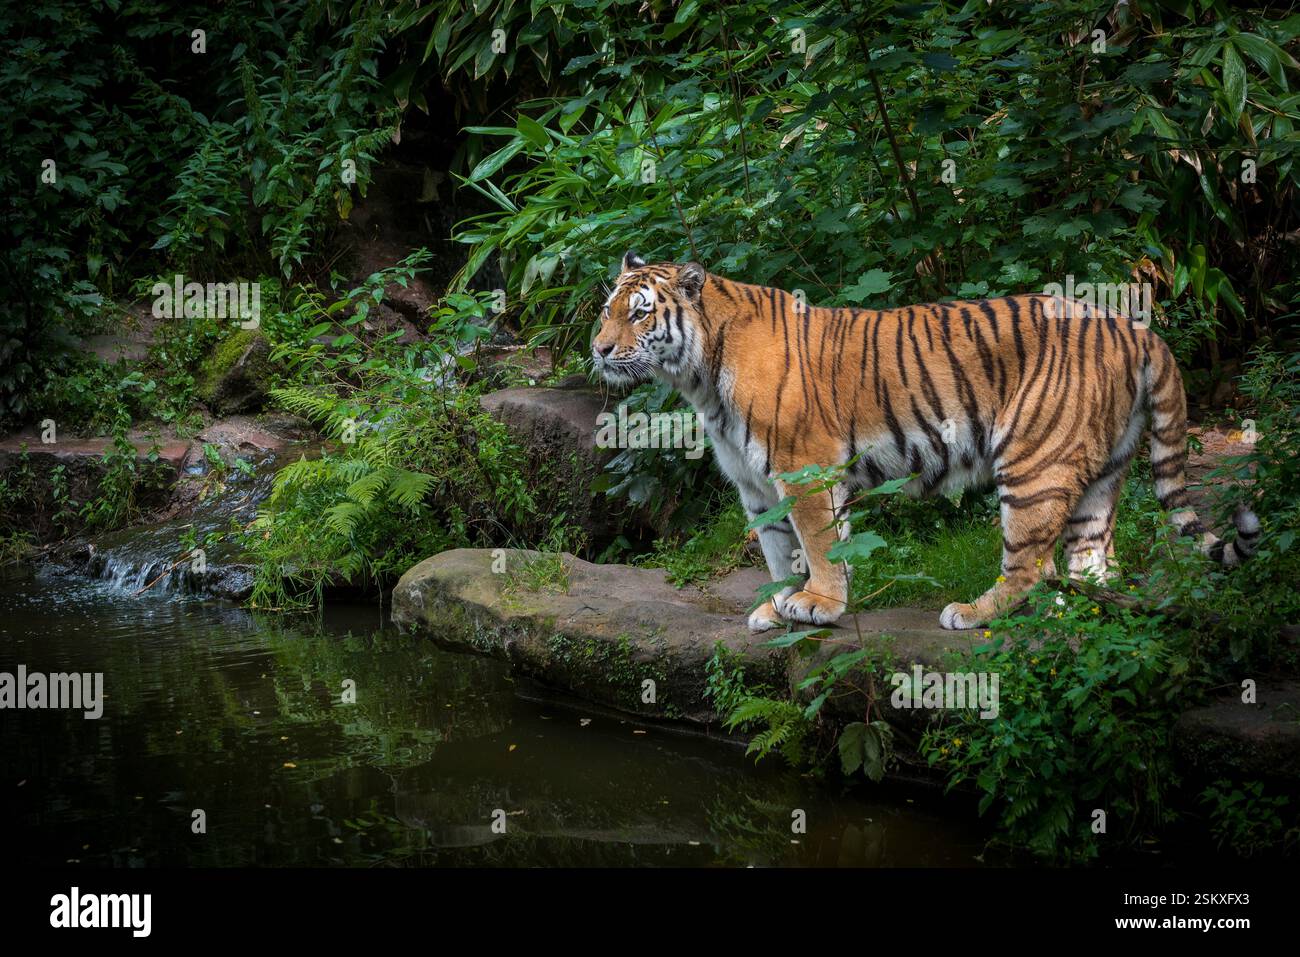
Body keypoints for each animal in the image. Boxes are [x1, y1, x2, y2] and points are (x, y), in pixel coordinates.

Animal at [591, 252, 1260, 631]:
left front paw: (819, 605)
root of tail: (1134, 327)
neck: (697, 377)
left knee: (1032, 563)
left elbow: (819, 543)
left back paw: (972, 613)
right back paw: (1078, 612)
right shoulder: (755, 485)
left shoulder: (804, 468)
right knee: (1094, 557)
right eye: (606, 311)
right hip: (1102, 472)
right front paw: (774, 606)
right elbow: (779, 550)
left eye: (641, 313)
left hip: (1035, 463)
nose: (597, 349)